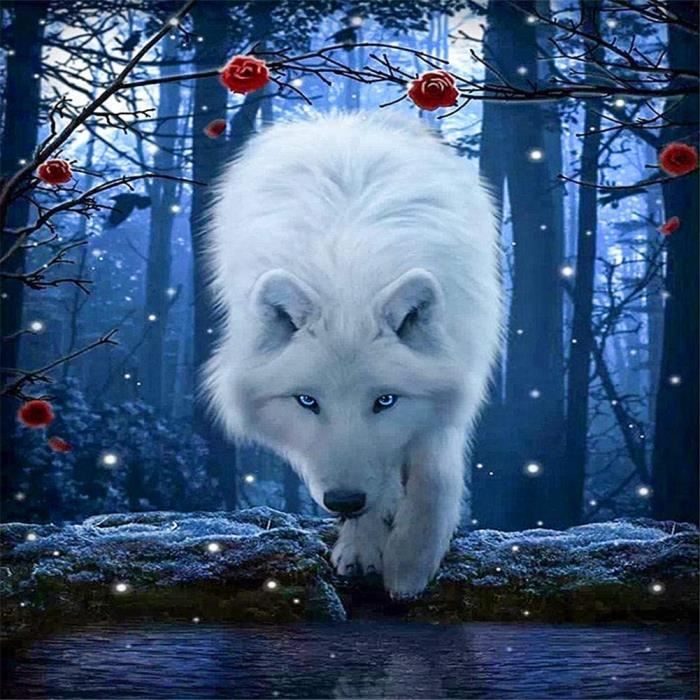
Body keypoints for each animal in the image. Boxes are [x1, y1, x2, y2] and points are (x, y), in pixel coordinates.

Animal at [205, 112, 502, 598]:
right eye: (307, 401)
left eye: (385, 400)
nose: (343, 501)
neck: (347, 280)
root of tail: (345, 121)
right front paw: (364, 546)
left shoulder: (454, 378)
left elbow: (433, 472)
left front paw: (411, 559)